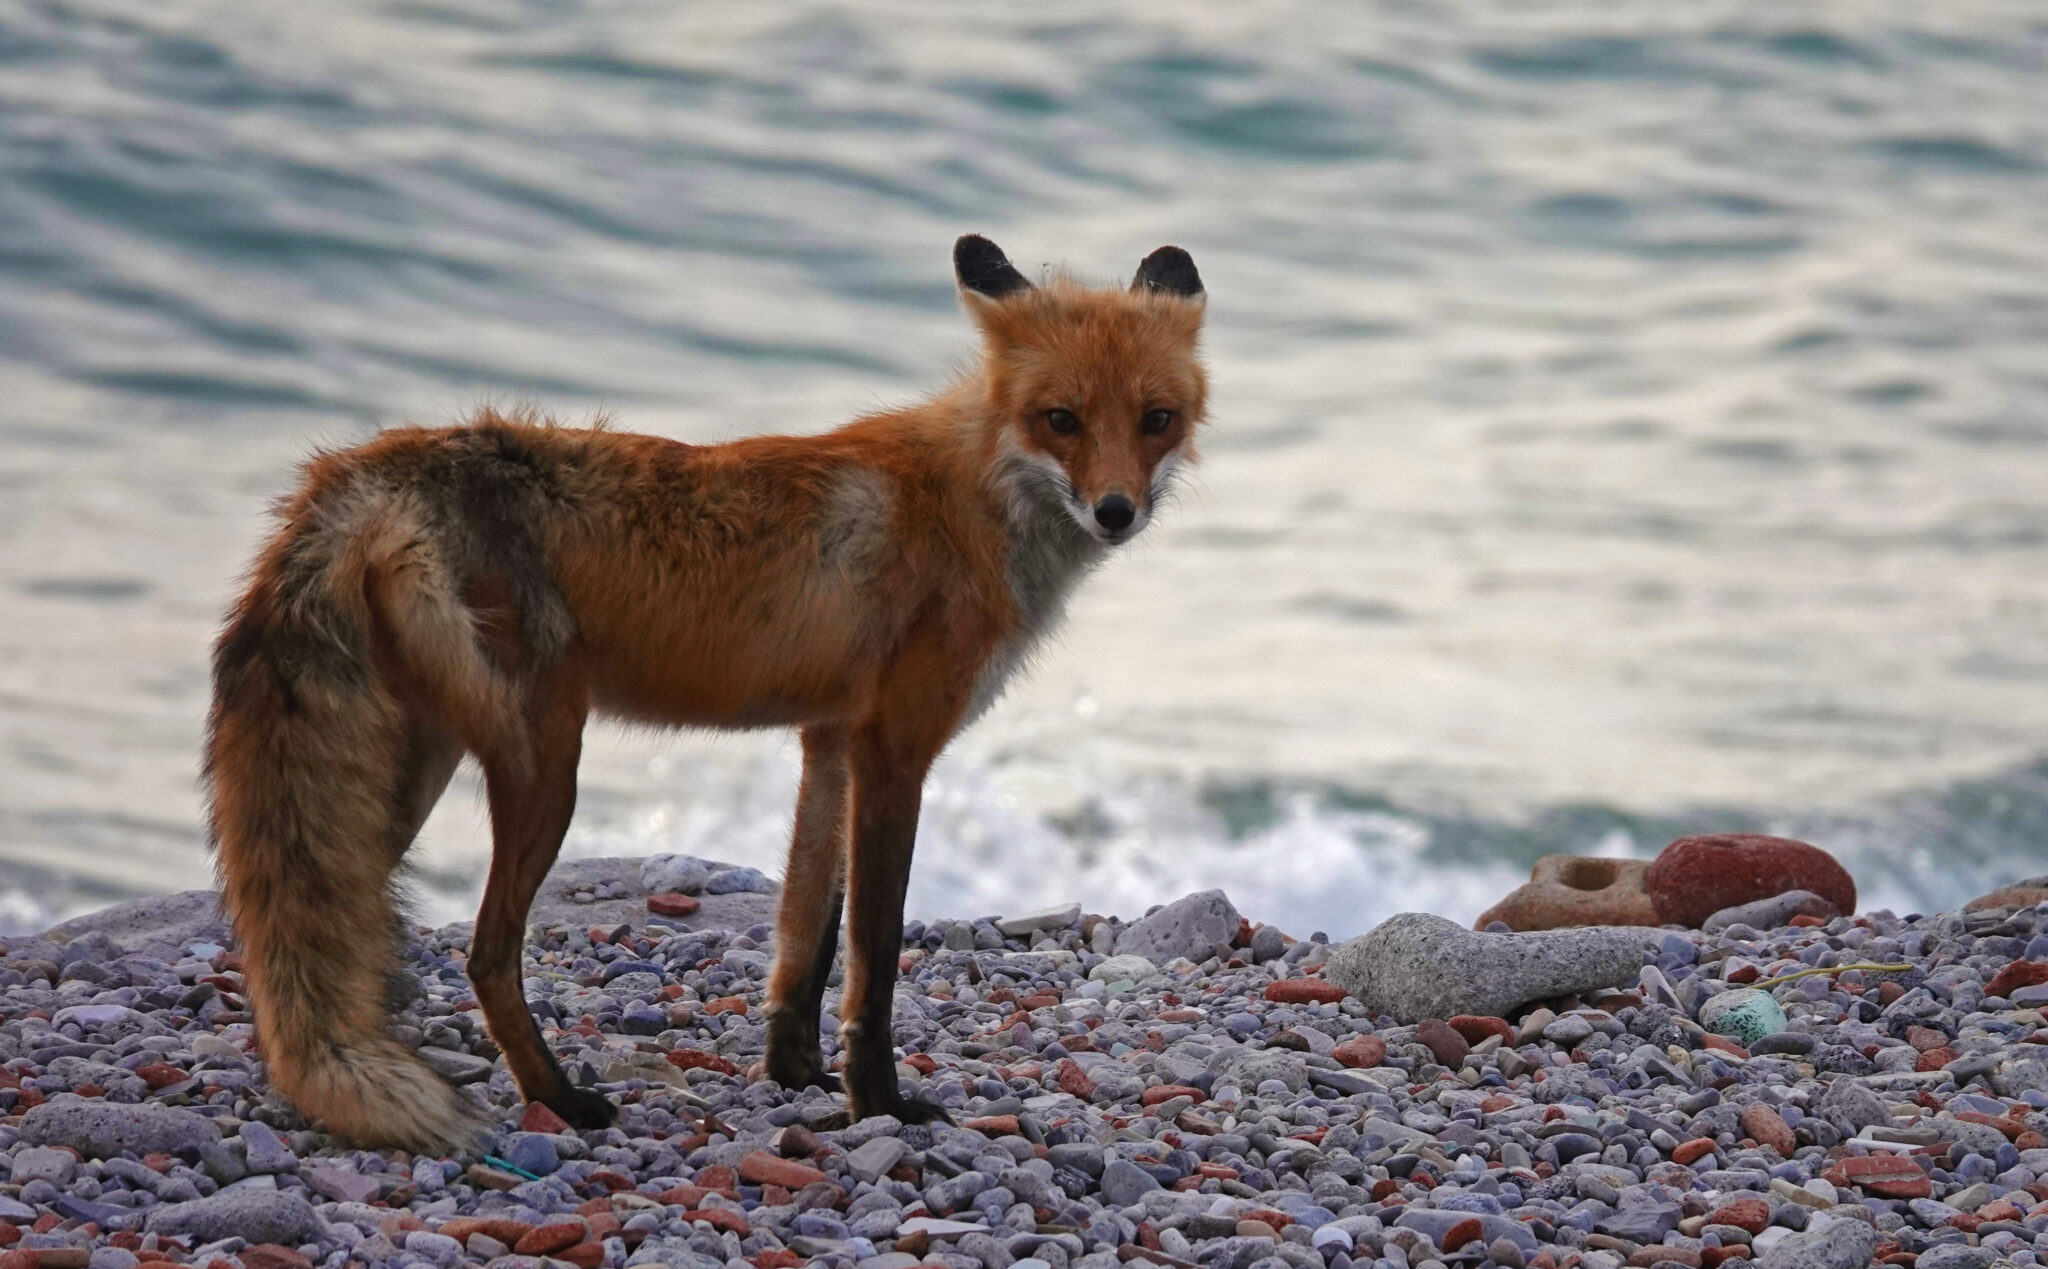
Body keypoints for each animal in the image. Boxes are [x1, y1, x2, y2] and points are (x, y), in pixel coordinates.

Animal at [204, 234, 1208, 1151]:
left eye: (1156, 418)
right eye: (1061, 419)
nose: (1116, 511)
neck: (968, 496)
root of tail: (364, 472)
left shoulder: (830, 740)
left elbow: (806, 934)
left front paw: (795, 1074)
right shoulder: (896, 749)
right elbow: (875, 952)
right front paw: (876, 1101)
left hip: (409, 775)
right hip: (543, 766)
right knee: (483, 952)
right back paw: (558, 1098)